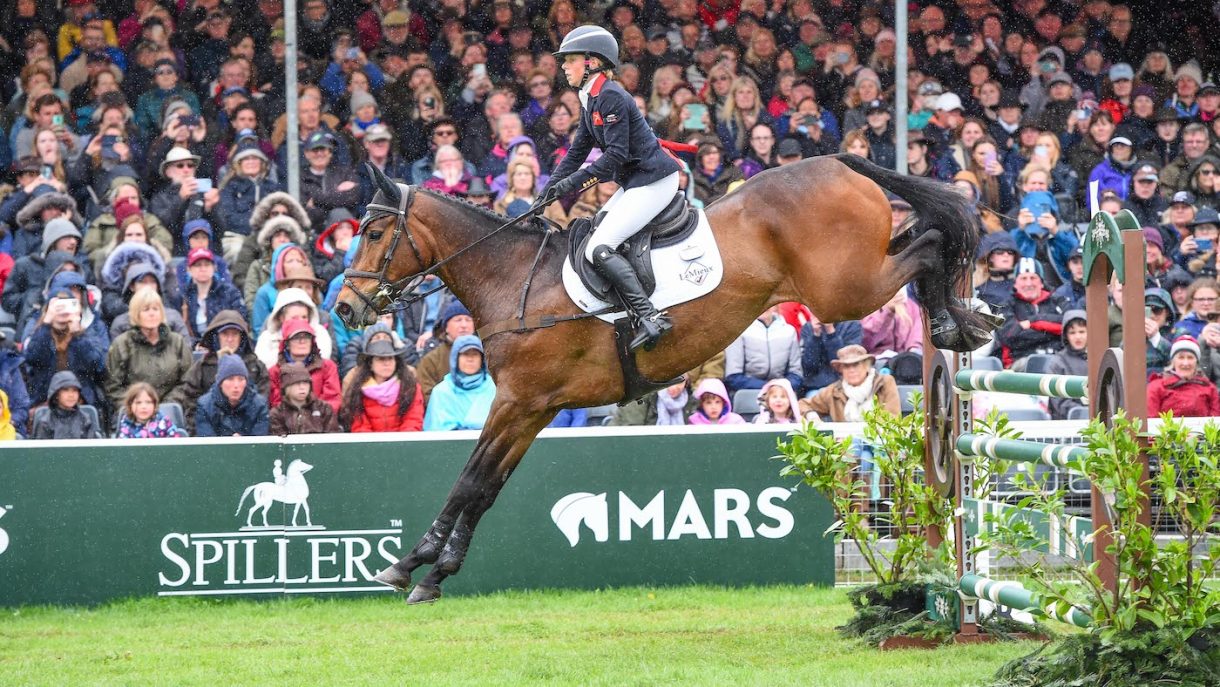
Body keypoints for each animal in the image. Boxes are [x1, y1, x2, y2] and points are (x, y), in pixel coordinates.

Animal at [336, 154, 995, 604]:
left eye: (374, 233)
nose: (344, 309)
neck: (513, 277)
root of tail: (835, 162)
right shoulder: (533, 407)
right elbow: (485, 485)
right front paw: (429, 570)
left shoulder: (519, 400)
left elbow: (470, 482)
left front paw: (412, 568)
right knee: (923, 240)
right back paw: (961, 320)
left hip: (845, 287)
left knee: (930, 243)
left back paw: (959, 320)